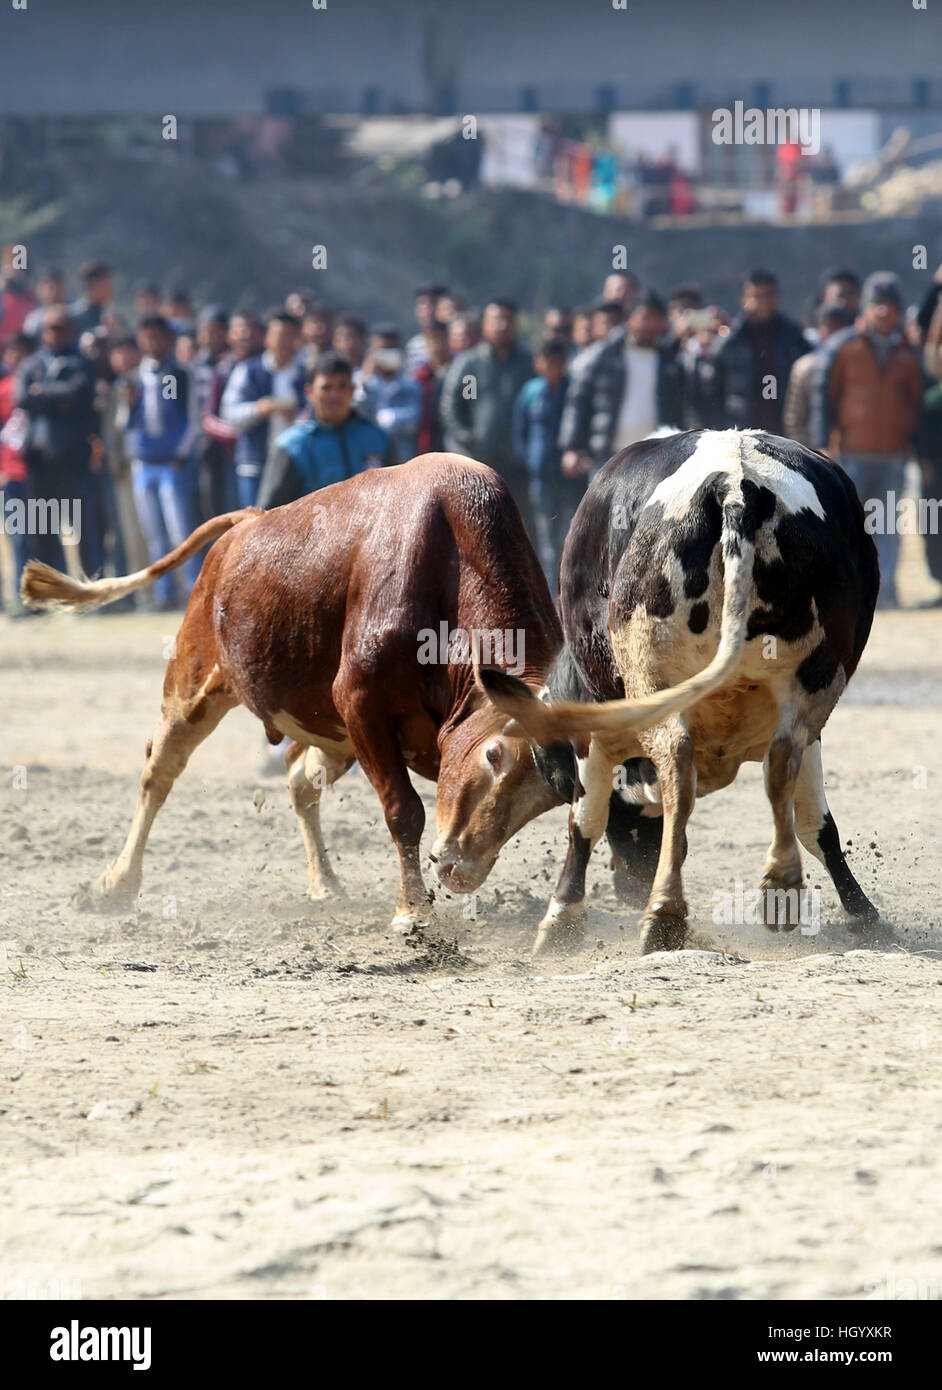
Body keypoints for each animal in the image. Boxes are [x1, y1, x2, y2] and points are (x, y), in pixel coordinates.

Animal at [453, 428, 881, 956]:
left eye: (553, 775)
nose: (630, 882)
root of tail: (736, 482)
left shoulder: (594, 727)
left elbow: (585, 820)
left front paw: (561, 919)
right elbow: (815, 821)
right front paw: (861, 913)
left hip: (651, 675)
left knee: (676, 762)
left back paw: (664, 914)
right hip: (815, 682)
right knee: (781, 760)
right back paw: (779, 887)